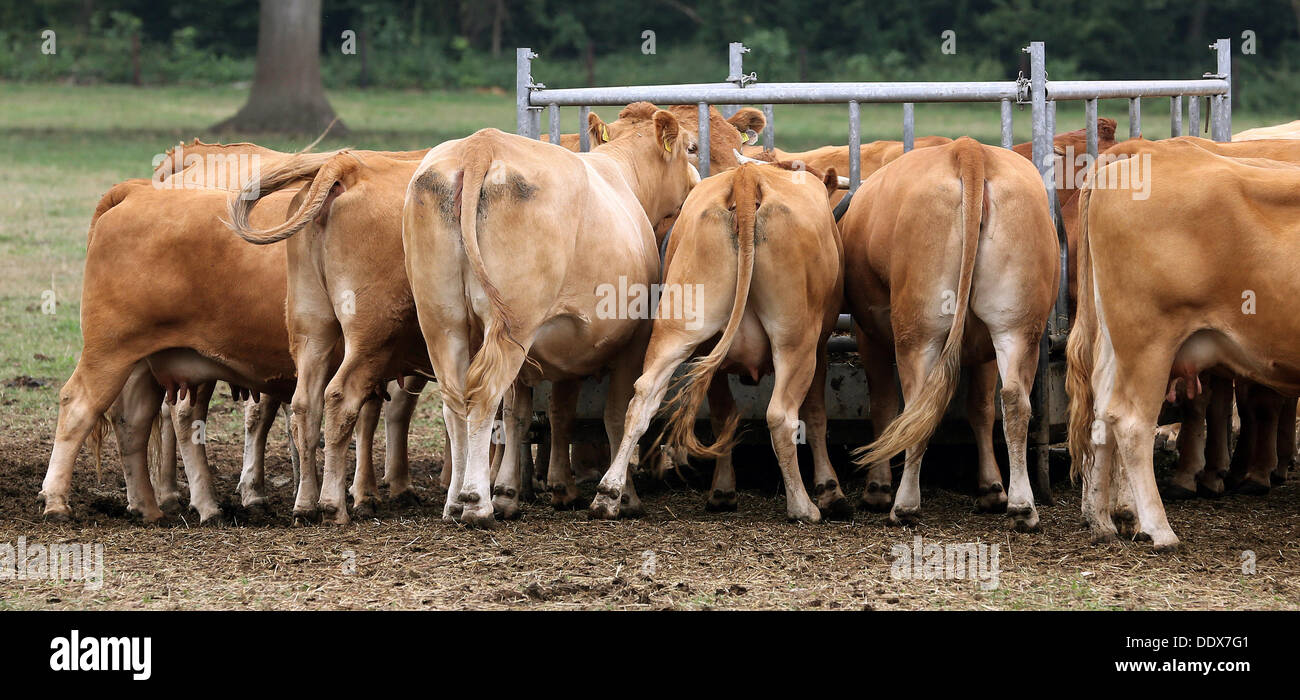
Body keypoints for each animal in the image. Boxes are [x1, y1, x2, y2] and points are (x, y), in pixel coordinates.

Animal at [401, 107, 699, 527]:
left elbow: (531, 414)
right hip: (513, 325)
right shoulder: (632, 340)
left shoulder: (563, 350)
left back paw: (454, 502)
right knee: (484, 397)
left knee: (455, 402)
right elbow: (616, 414)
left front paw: (515, 492)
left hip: (442, 321)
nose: (697, 182)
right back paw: (476, 502)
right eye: (691, 148)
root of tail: (480, 146)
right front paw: (622, 497)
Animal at [842, 138, 1058, 530]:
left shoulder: (869, 336)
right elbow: (981, 409)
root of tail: (967, 150)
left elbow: (882, 404)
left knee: (917, 404)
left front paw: (876, 488)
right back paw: (1022, 506)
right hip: (1016, 327)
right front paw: (991, 488)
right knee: (1014, 402)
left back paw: (904, 504)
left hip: (917, 331)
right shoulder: (984, 350)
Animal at [1067, 138, 1300, 550]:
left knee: (1101, 415)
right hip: (1150, 340)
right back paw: (1159, 529)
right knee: (1131, 422)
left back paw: (1101, 521)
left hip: (1116, 343)